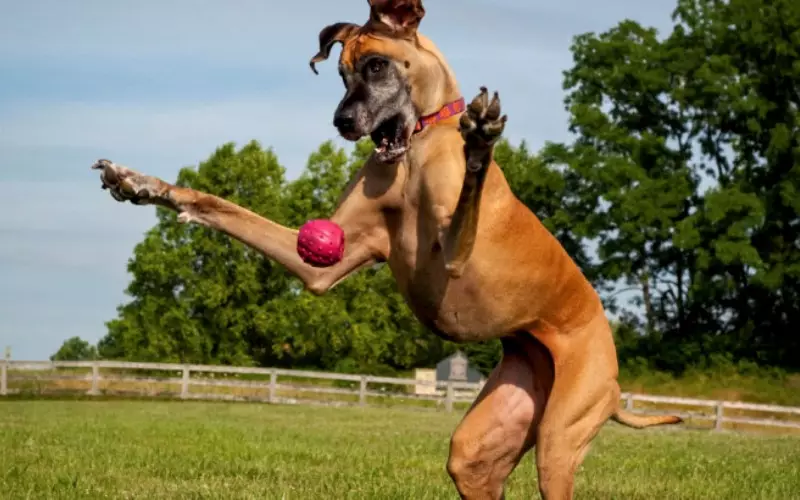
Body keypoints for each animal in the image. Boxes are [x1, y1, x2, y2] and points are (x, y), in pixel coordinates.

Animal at [92, 1, 680, 498]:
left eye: (376, 66)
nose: (342, 123)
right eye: (340, 74)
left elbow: (469, 188)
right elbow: (217, 205)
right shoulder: (320, 266)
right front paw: (140, 183)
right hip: (487, 440)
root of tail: (614, 377)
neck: (416, 150)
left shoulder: (457, 257)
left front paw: (481, 139)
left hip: (562, 435)